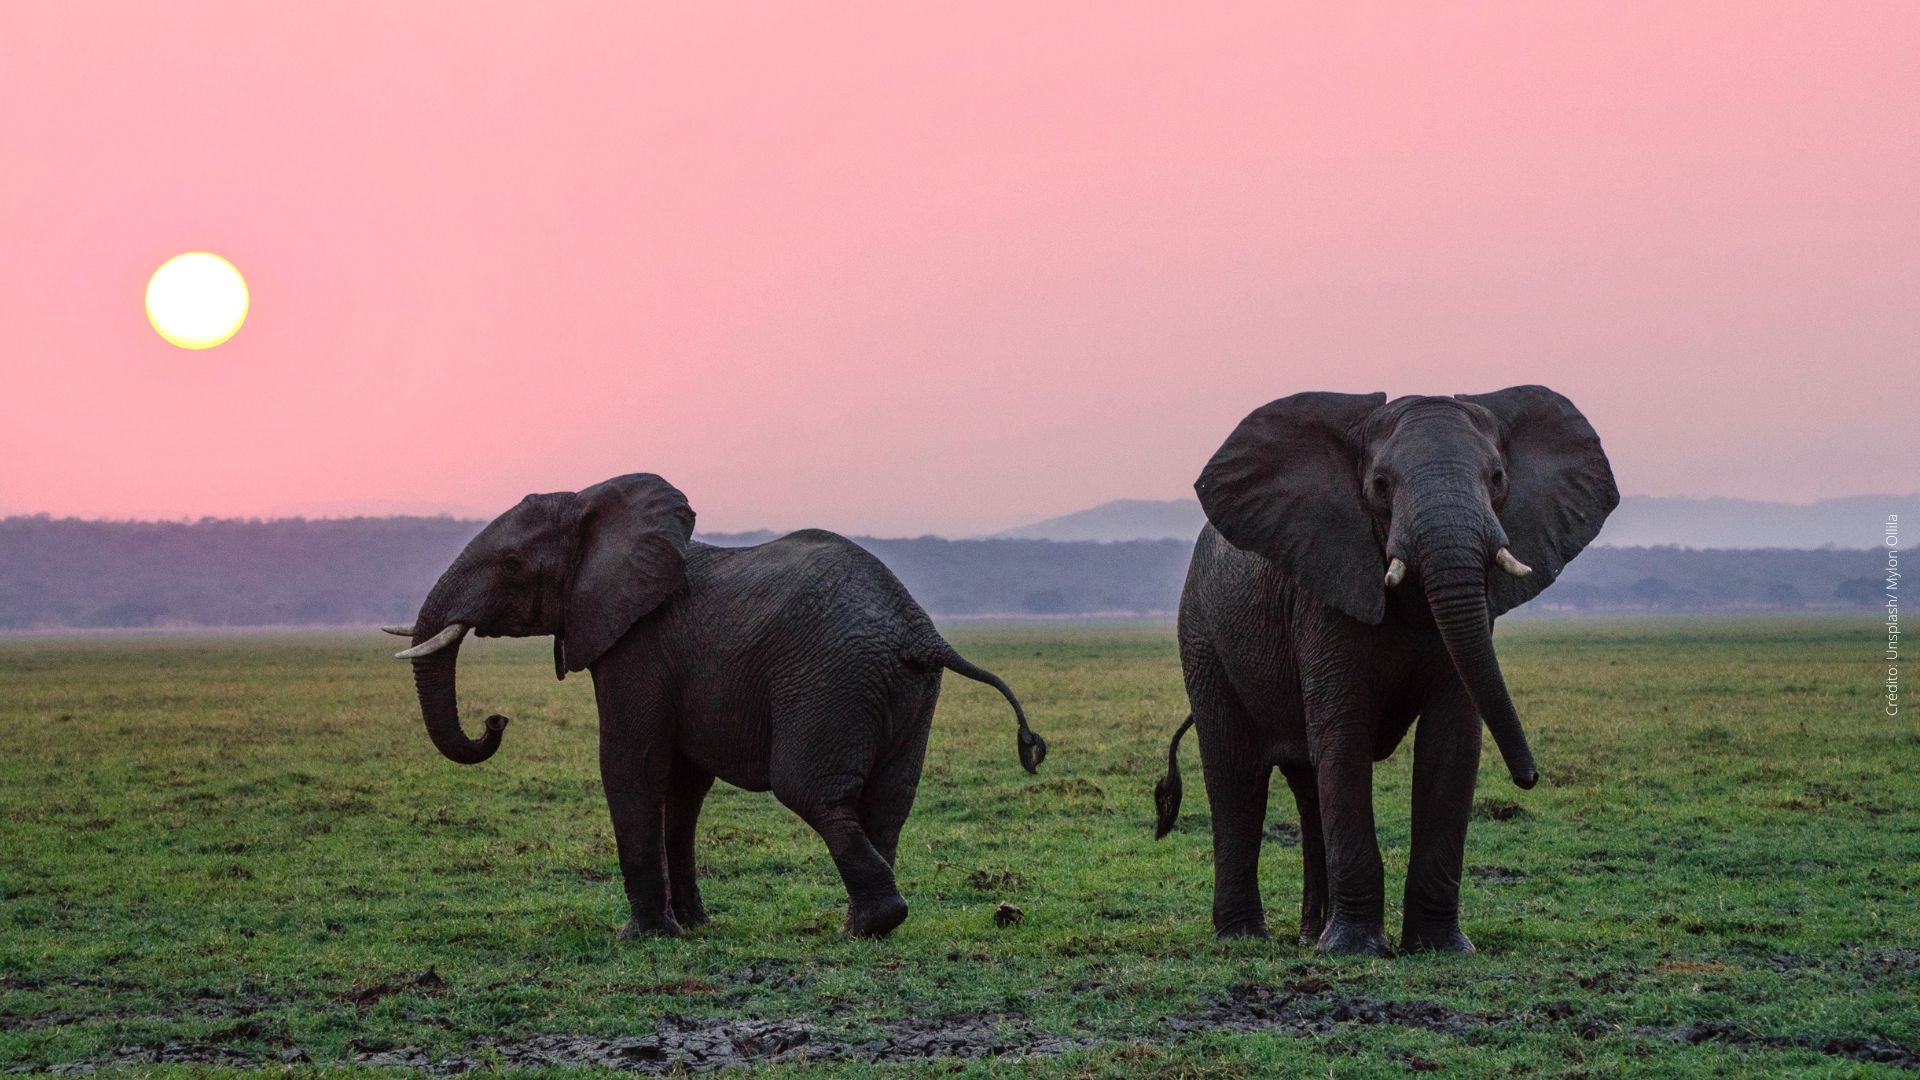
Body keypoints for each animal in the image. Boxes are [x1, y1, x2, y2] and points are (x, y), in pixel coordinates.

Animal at [385, 473, 1045, 939]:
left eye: (512, 564)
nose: (495, 721)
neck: (592, 503)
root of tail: (919, 630)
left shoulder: (638, 645)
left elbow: (631, 764)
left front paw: (642, 936)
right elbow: (683, 785)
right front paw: (695, 927)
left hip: (831, 681)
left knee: (810, 791)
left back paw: (867, 926)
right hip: (905, 690)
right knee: (888, 801)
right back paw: (863, 926)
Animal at [1152, 386, 1616, 955]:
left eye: (1498, 478)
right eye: (1379, 486)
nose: (1529, 778)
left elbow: (1451, 745)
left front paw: (1441, 949)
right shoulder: (1325, 590)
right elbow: (1345, 738)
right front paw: (1353, 950)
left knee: (1308, 786)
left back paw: (1309, 937)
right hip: (1204, 639)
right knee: (1237, 775)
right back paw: (1247, 939)